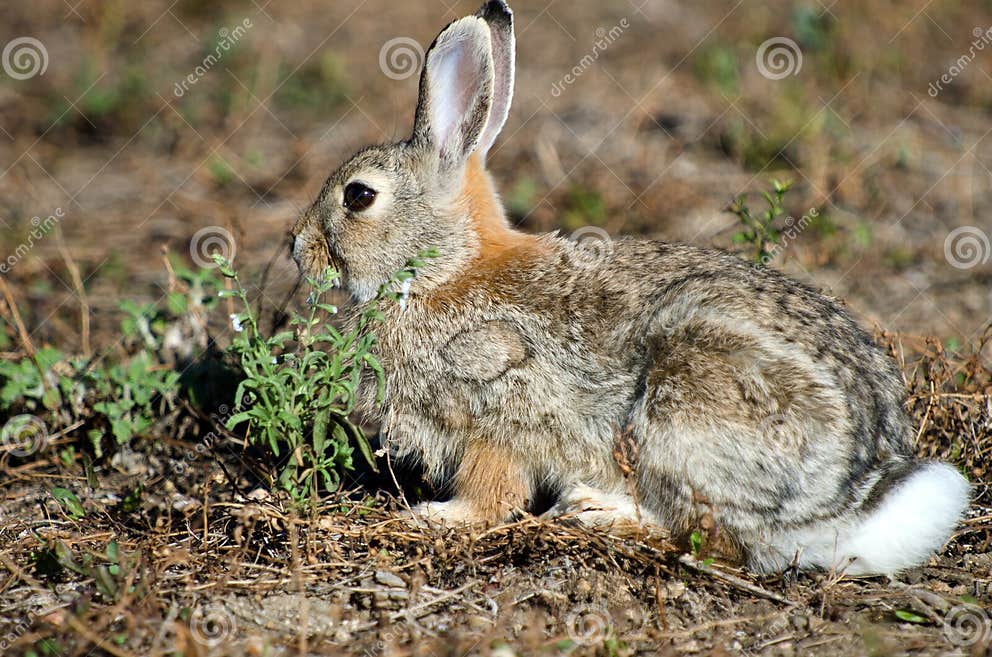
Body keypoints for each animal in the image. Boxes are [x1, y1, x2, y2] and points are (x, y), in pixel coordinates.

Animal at [291, 0, 970, 575]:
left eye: (359, 196)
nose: (297, 248)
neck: (445, 268)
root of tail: (843, 503)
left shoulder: (496, 415)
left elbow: (494, 492)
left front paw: (438, 517)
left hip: (683, 416)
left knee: (711, 538)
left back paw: (601, 513)